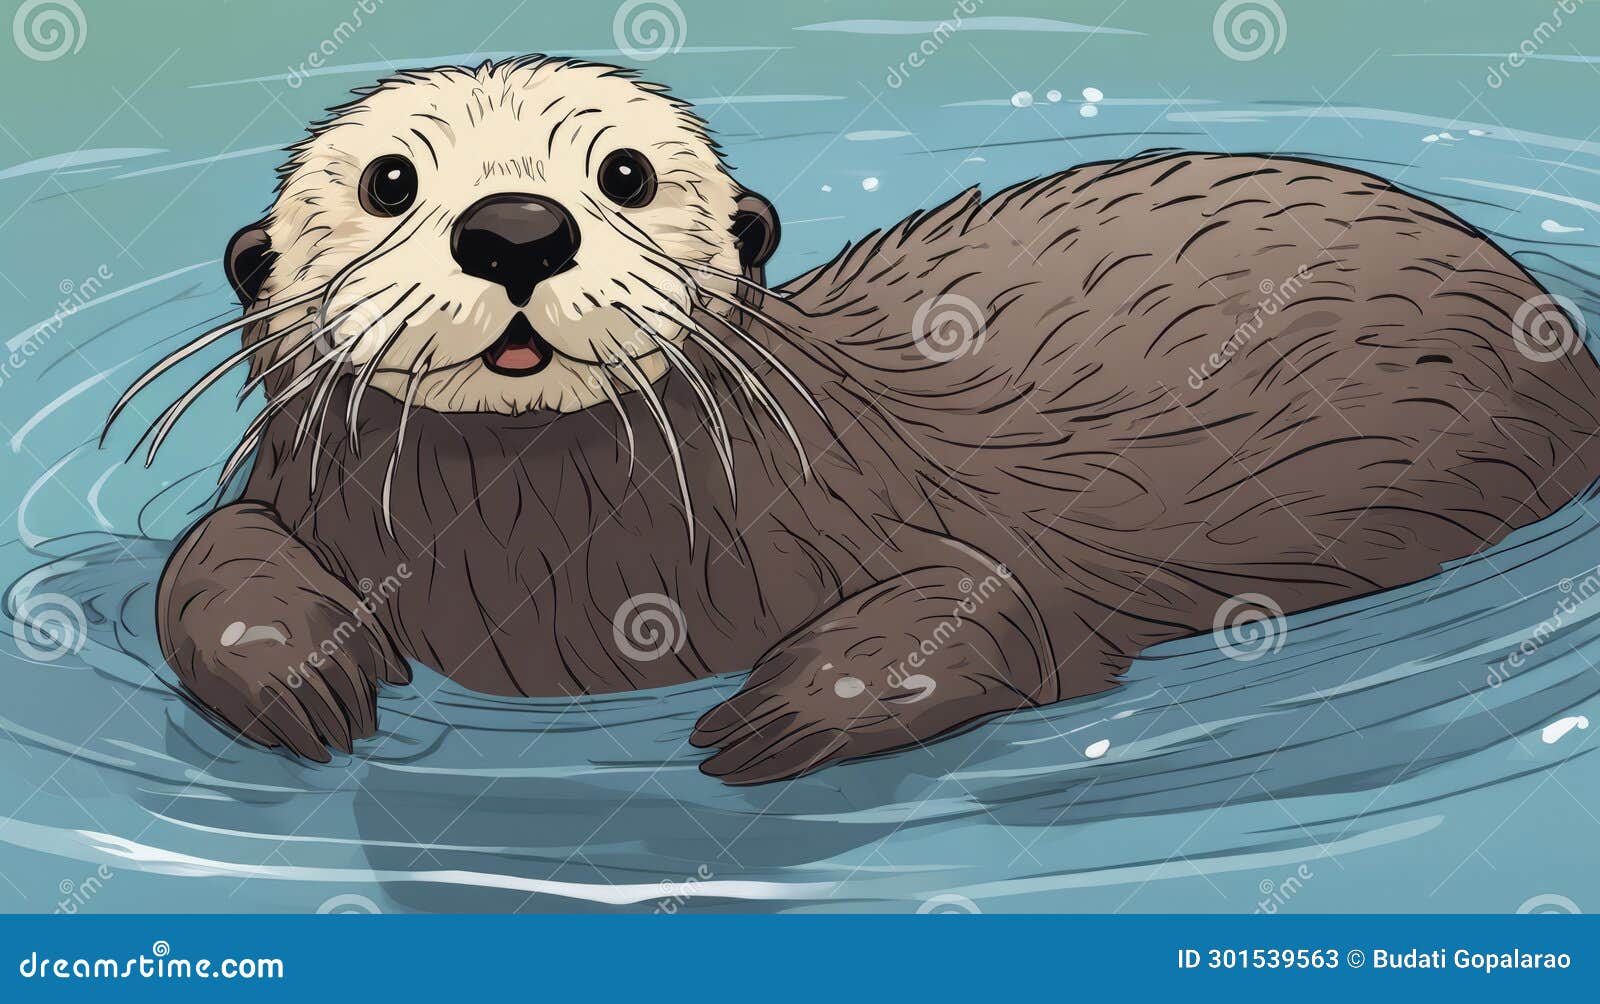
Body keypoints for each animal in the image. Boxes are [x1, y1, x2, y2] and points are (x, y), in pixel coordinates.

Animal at [106, 57, 1600, 785]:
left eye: (625, 172)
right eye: (389, 179)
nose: (514, 225)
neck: (544, 589)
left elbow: (990, 603)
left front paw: (771, 718)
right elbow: (203, 563)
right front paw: (302, 673)